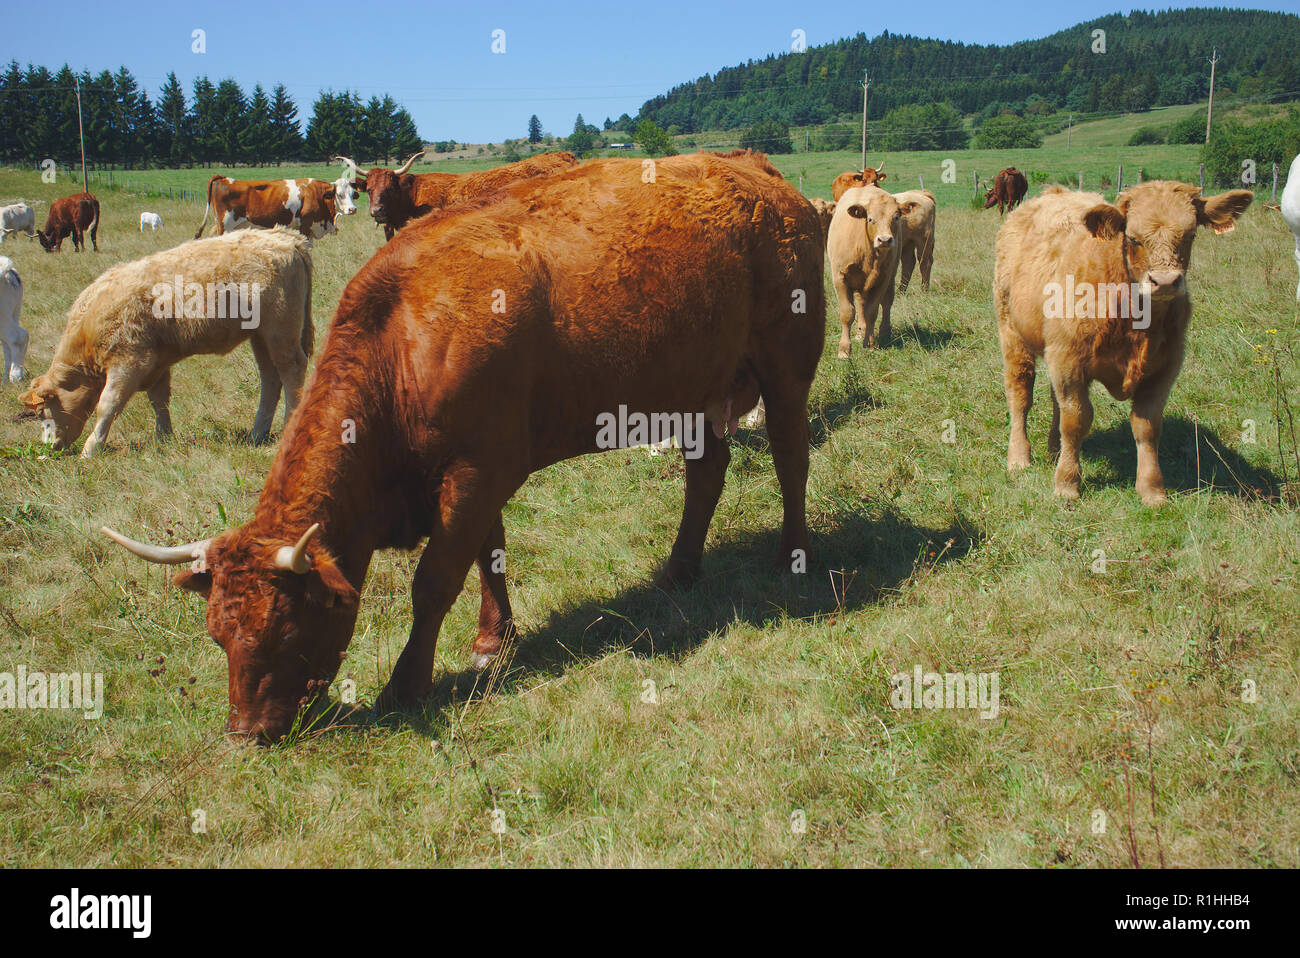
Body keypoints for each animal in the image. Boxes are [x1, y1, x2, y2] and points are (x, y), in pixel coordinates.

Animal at [20, 229, 313, 457]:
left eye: (42, 413)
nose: (48, 447)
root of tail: (287, 238)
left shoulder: (129, 362)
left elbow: (108, 404)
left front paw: (91, 449)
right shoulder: (157, 363)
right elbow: (159, 401)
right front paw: (164, 437)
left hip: (280, 332)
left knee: (292, 371)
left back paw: (288, 426)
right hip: (261, 337)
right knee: (270, 378)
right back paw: (257, 433)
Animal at [827, 184, 919, 356]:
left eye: (896, 217)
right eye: (870, 219)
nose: (884, 240)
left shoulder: (882, 279)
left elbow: (872, 311)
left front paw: (870, 343)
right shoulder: (840, 277)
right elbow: (847, 313)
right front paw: (844, 349)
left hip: (890, 275)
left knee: (887, 302)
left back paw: (883, 332)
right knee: (861, 302)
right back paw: (860, 332)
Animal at [994, 182, 1252, 504]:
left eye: (1191, 235)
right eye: (1132, 238)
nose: (1165, 282)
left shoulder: (1165, 368)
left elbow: (1147, 426)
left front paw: (1152, 490)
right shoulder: (1069, 360)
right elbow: (1076, 419)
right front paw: (1067, 484)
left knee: (1055, 401)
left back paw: (1054, 449)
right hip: (1012, 334)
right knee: (1020, 395)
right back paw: (1019, 457)